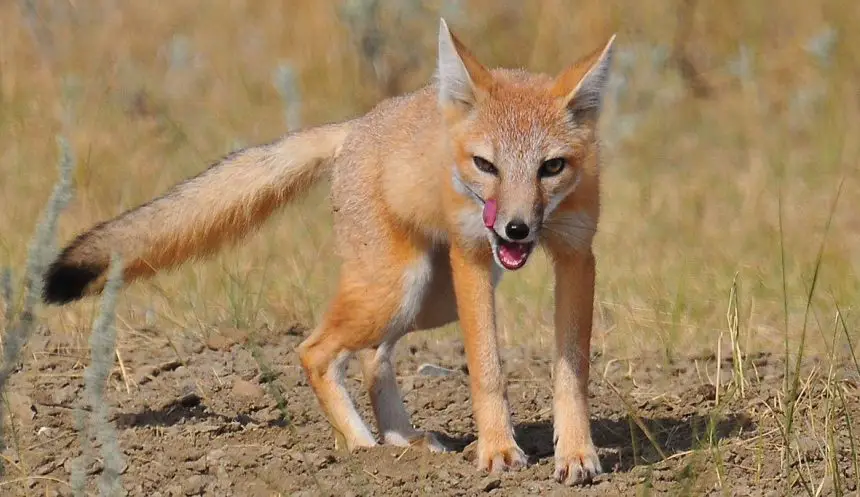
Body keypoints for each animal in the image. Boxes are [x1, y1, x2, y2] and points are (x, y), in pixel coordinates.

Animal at [42, 19, 616, 485]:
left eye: (551, 167)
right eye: (485, 165)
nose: (517, 230)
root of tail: (355, 126)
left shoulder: (577, 255)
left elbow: (572, 373)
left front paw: (577, 455)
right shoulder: (472, 254)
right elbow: (488, 369)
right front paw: (497, 450)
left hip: (425, 299)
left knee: (369, 357)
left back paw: (400, 442)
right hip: (402, 288)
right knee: (314, 350)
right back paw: (364, 450)